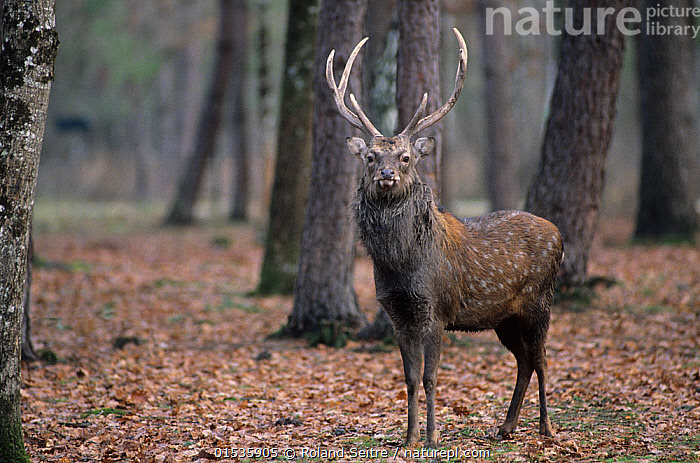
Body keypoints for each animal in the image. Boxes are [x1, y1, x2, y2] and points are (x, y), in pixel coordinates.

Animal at [326, 28, 564, 447]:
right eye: (370, 157)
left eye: (405, 157)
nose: (386, 174)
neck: (402, 266)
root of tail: (559, 235)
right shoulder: (397, 314)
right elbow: (408, 378)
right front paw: (408, 438)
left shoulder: (435, 309)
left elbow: (430, 376)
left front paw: (433, 437)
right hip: (503, 316)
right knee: (523, 360)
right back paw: (506, 426)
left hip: (540, 300)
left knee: (541, 359)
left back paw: (546, 428)